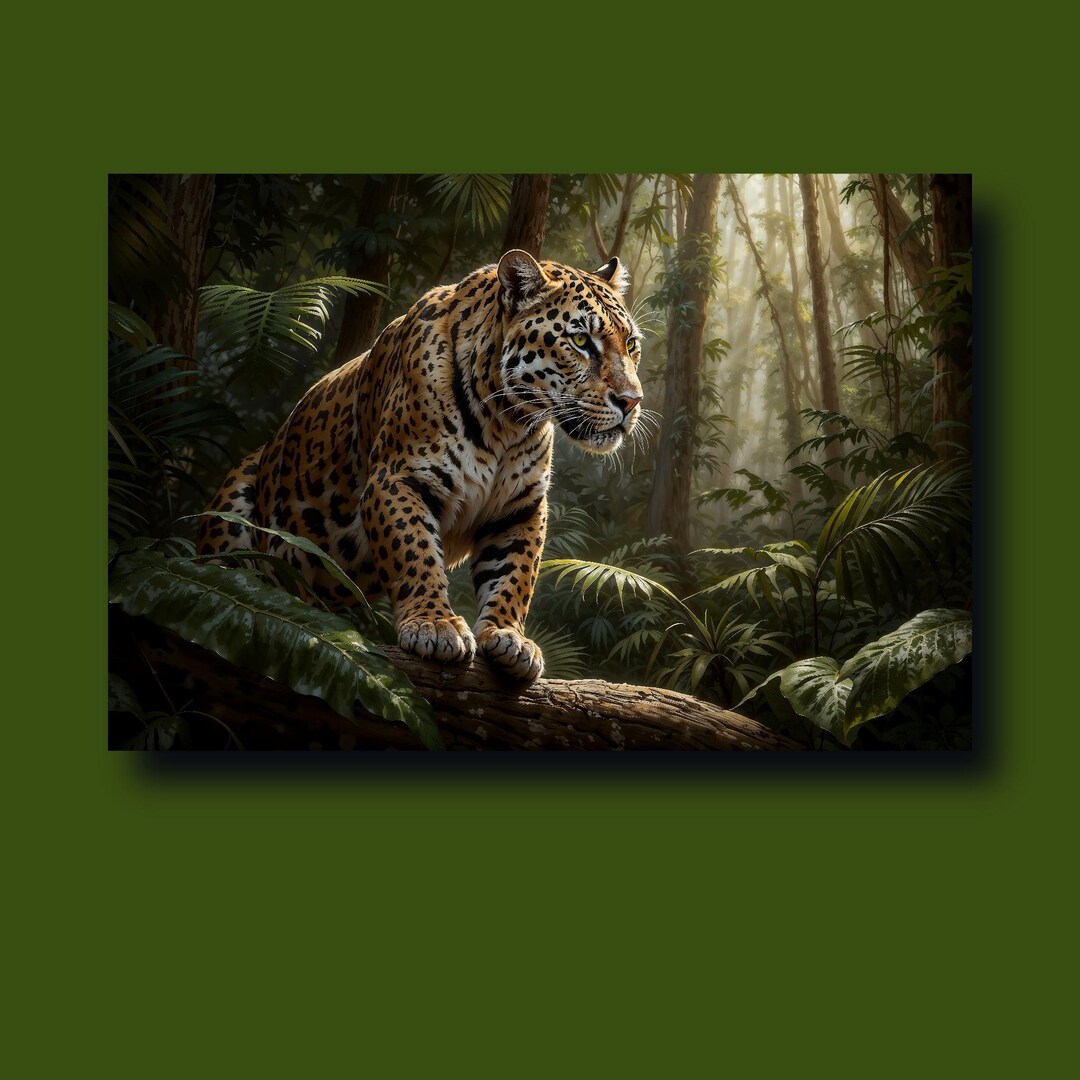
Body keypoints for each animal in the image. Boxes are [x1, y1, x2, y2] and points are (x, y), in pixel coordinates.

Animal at [197, 249, 644, 681]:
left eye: (631, 345)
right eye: (581, 341)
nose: (632, 401)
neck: (507, 421)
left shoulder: (520, 508)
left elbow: (515, 575)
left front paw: (508, 636)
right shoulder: (398, 478)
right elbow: (414, 551)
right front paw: (434, 624)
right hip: (235, 506)